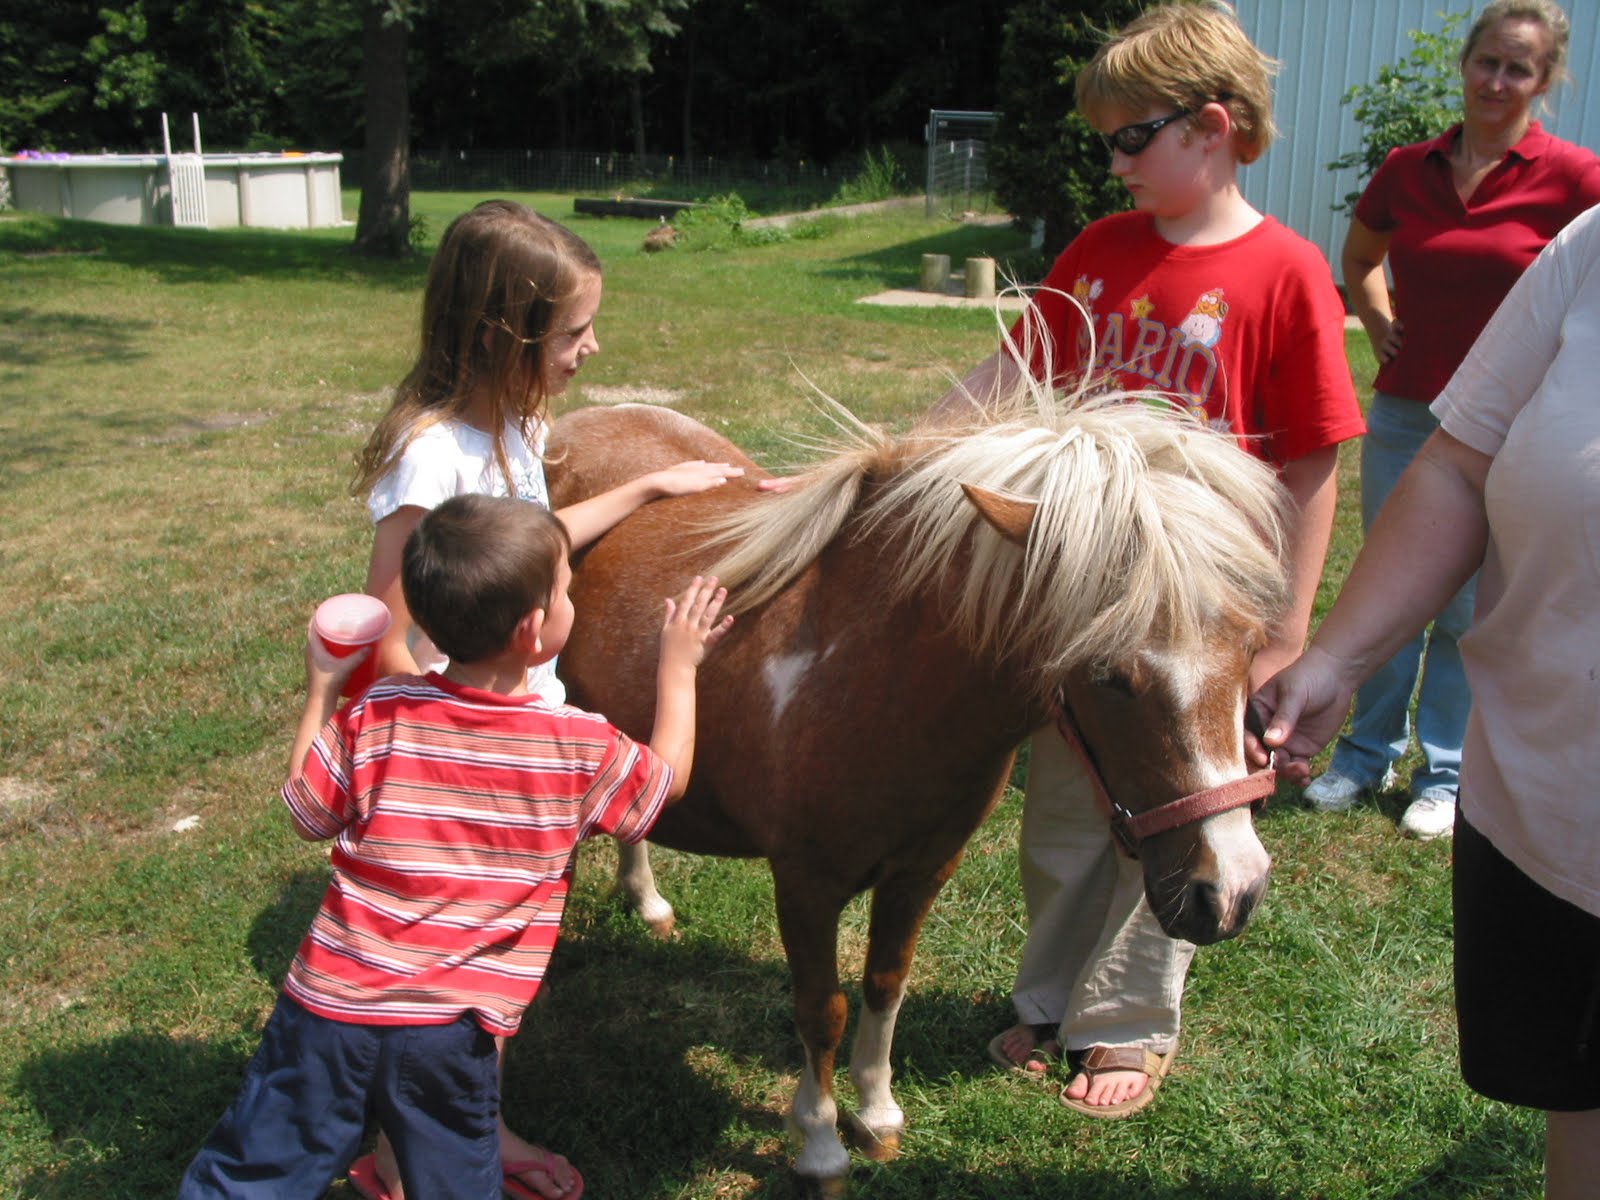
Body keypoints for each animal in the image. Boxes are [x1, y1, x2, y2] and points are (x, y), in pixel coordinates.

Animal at [546, 388, 1289, 1191]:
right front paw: (821, 1146)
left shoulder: (924, 872)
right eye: (1109, 676)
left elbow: (884, 983)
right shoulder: (805, 884)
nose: (1232, 891)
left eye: (1253, 647)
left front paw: (876, 1115)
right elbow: (823, 1010)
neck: (872, 672)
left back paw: (646, 902)